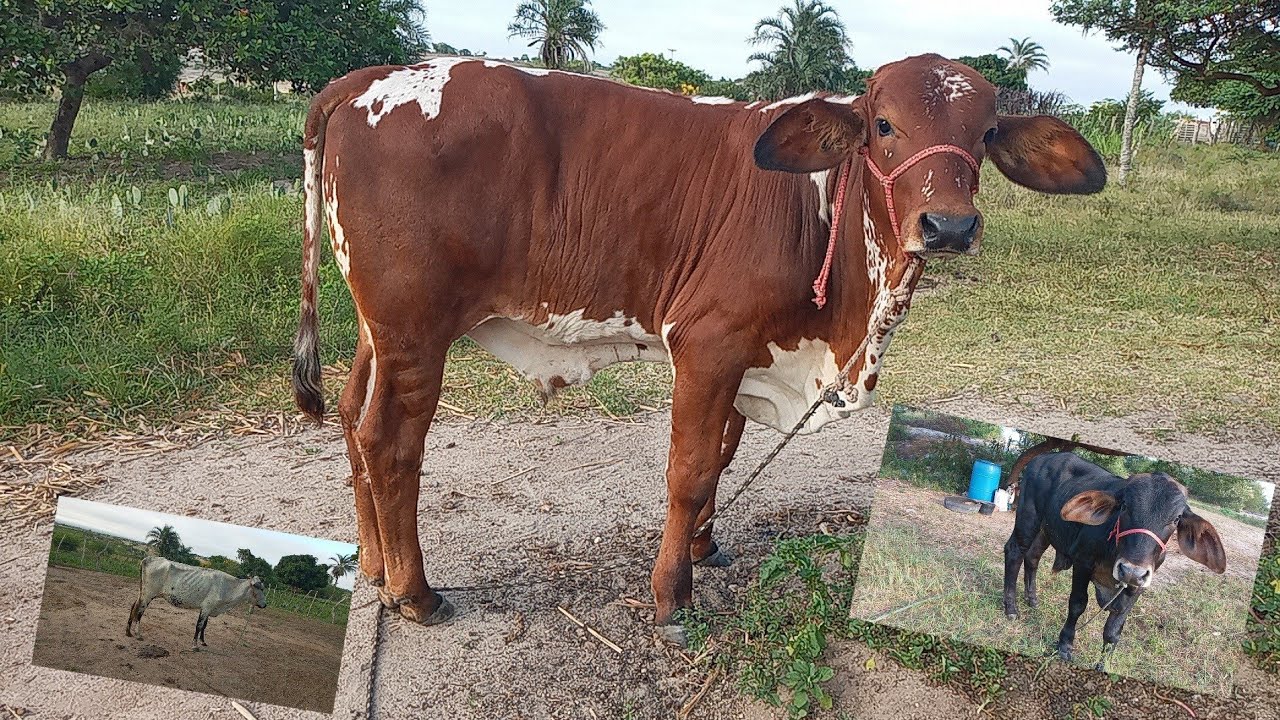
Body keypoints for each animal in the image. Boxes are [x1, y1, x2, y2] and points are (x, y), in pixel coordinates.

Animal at [126, 556, 268, 650]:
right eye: (261, 588)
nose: (265, 605)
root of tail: (149, 558)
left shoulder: (208, 608)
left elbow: (204, 626)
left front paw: (203, 642)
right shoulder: (207, 607)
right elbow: (199, 626)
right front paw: (194, 645)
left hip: (142, 591)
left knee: (134, 606)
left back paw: (128, 632)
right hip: (148, 594)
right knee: (140, 611)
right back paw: (138, 634)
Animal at [290, 52, 1106, 642]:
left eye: (987, 134)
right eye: (883, 123)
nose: (949, 226)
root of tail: (368, 78)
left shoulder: (752, 352)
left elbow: (722, 452)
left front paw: (706, 548)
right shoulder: (708, 343)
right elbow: (685, 472)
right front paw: (671, 597)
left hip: (379, 330)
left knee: (351, 420)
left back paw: (373, 569)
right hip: (416, 329)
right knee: (389, 441)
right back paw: (414, 592)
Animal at [1003, 452, 1227, 668]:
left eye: (1177, 518)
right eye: (1125, 506)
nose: (1131, 571)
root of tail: (1041, 458)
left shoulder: (1138, 584)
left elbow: (1114, 627)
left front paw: (1102, 665)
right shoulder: (1083, 562)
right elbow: (1077, 604)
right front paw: (1065, 646)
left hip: (1046, 530)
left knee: (1032, 557)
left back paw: (1032, 599)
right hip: (1028, 519)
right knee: (1014, 552)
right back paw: (1011, 608)